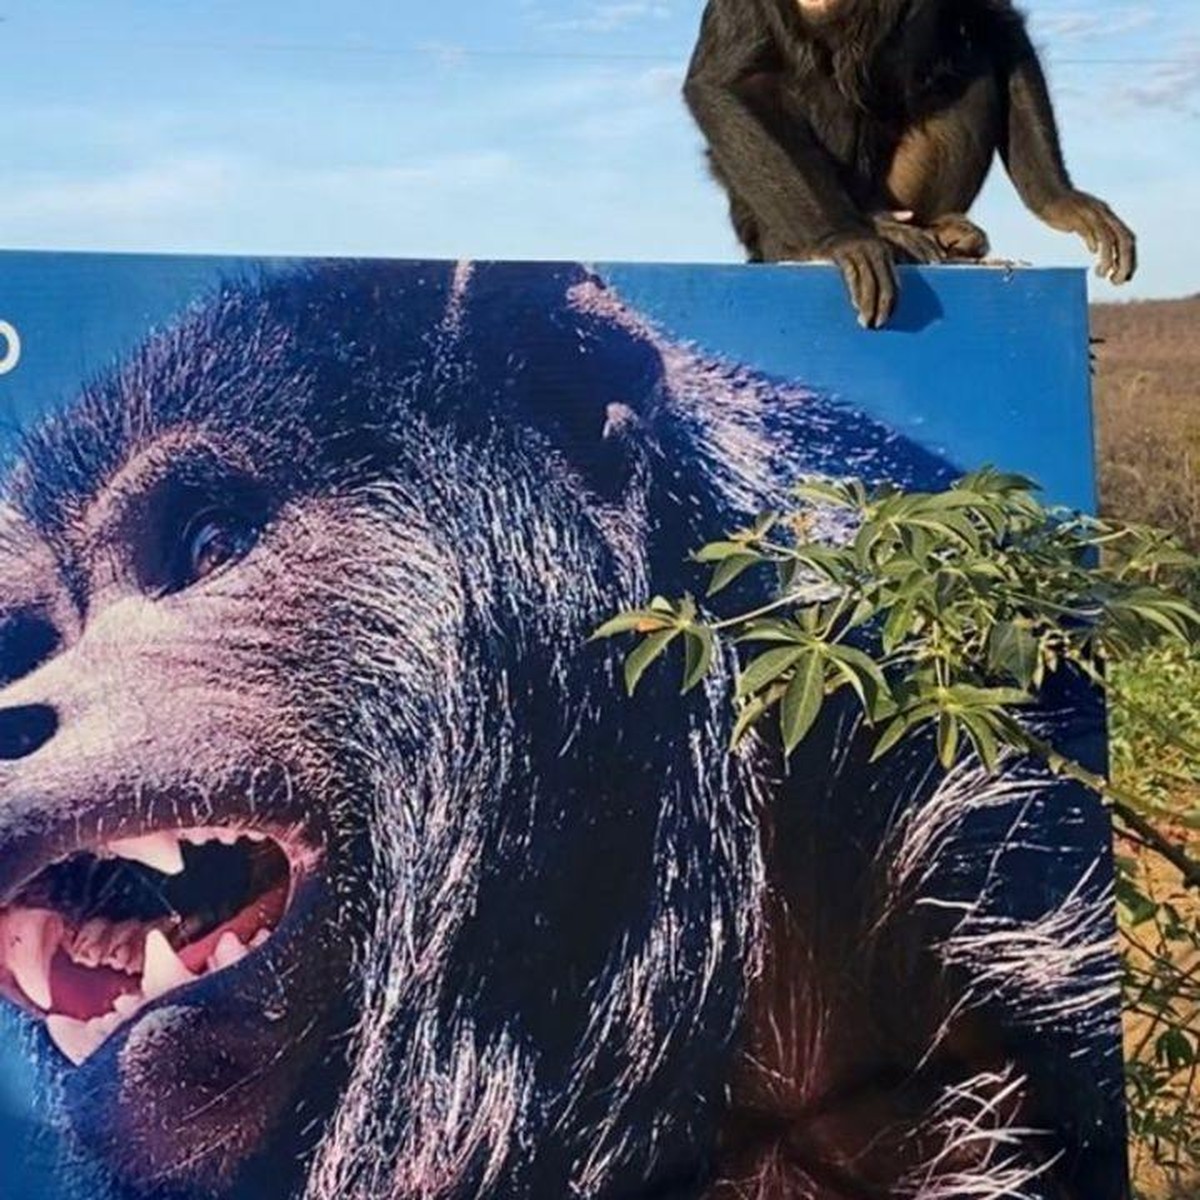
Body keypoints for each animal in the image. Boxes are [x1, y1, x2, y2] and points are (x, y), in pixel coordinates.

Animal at [684, 0, 1138, 328]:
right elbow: (726, 82)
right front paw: (845, 237)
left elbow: (996, 22)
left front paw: (1060, 199)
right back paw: (849, 233)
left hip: (903, 193)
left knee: (972, 57)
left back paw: (945, 231)